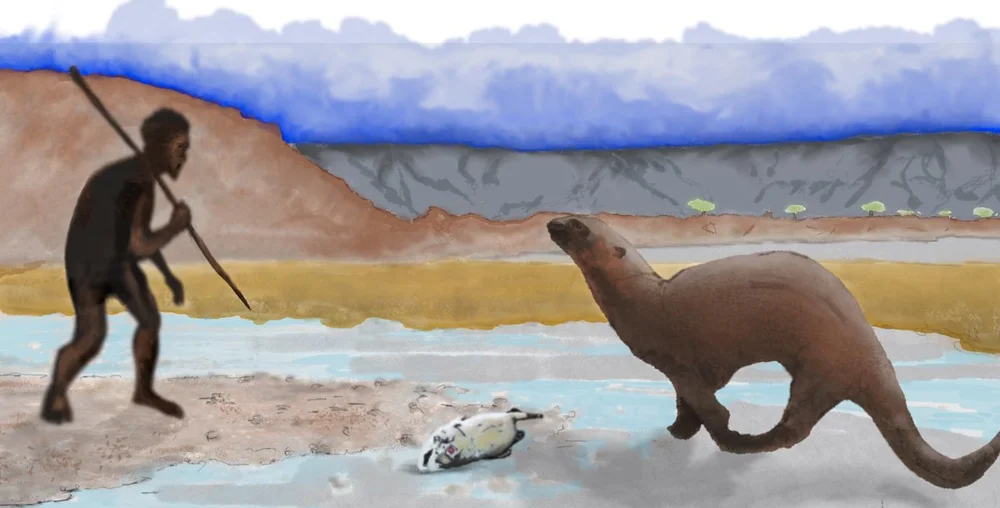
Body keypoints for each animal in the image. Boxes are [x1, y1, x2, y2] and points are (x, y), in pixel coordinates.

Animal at [546, 214, 1000, 489]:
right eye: (569, 216)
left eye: (580, 226)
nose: (552, 222)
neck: (644, 301)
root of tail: (871, 354)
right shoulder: (684, 370)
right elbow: (686, 404)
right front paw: (679, 430)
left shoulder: (683, 361)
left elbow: (709, 406)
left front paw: (717, 431)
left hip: (822, 363)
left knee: (795, 427)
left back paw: (748, 443)